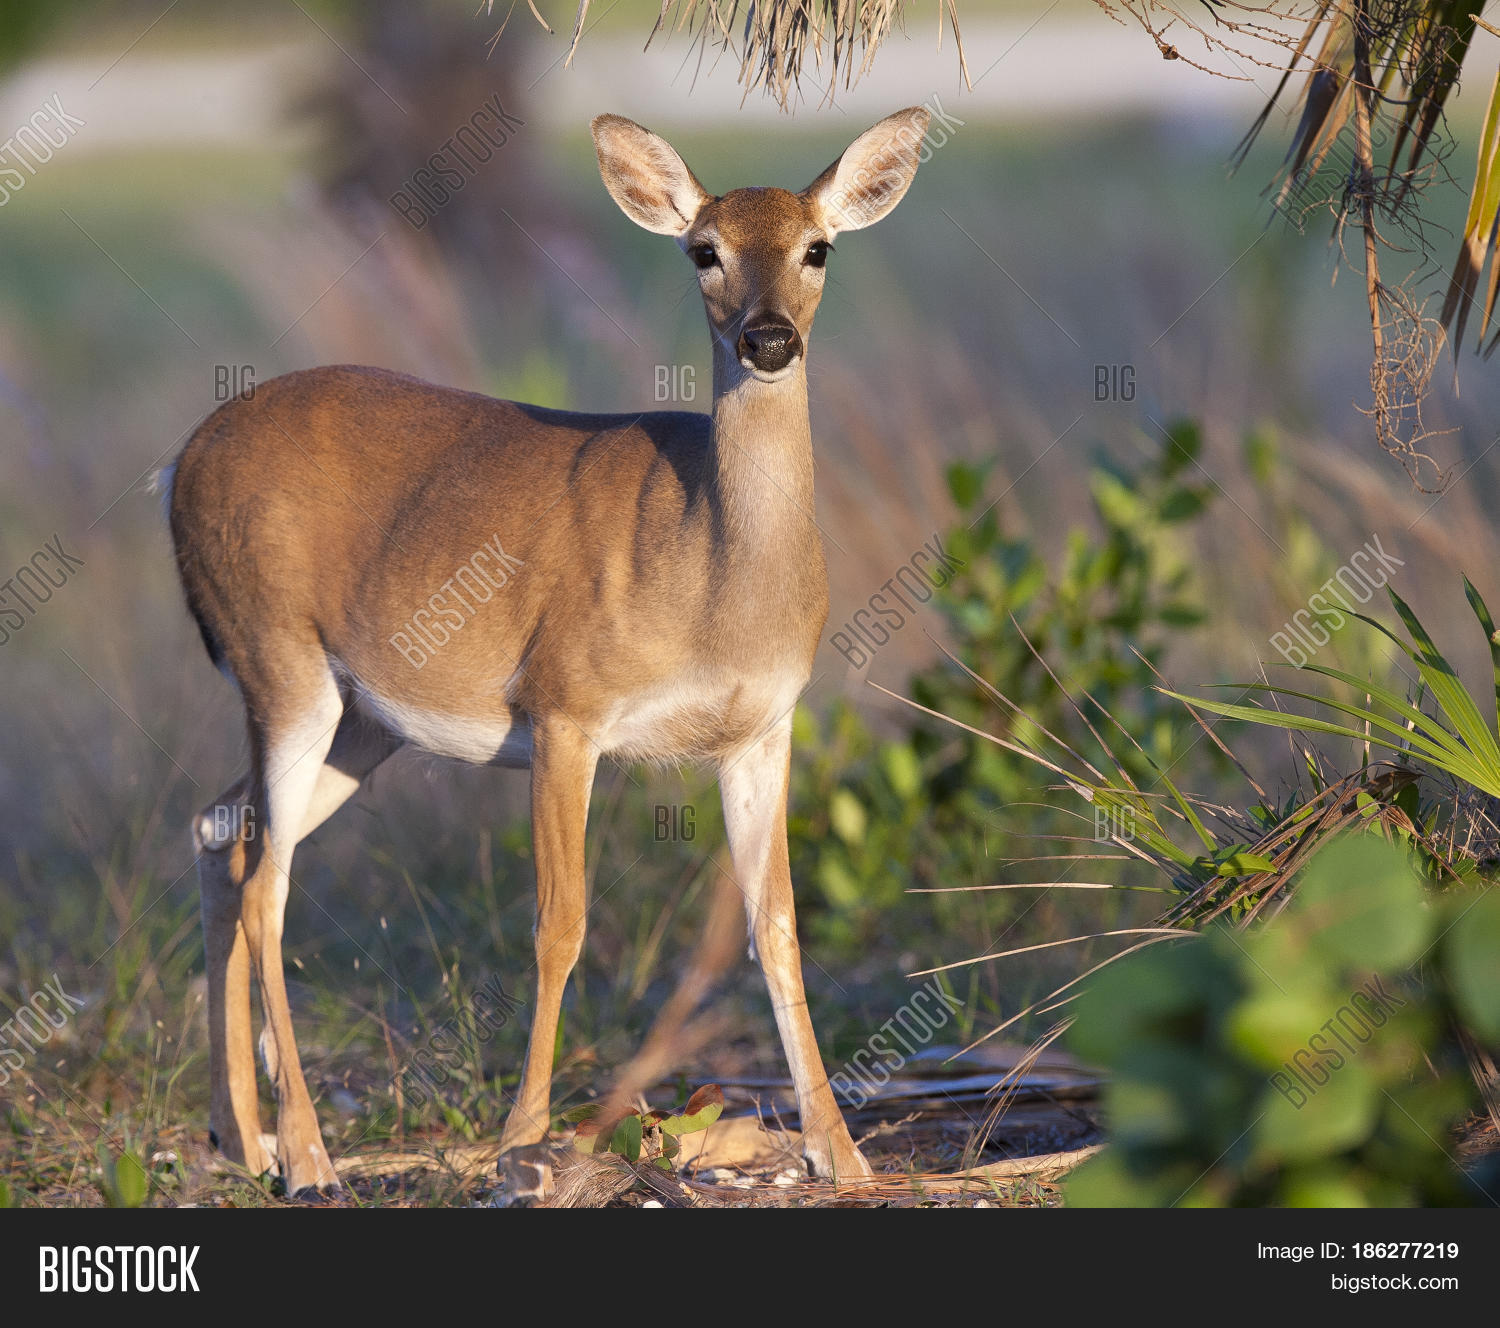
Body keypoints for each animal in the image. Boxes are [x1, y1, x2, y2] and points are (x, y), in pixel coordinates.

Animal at [166, 106, 929, 1195]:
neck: (711, 570)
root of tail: (180, 461)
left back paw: (242, 1135)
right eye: (704, 250)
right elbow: (558, 924)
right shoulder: (567, 704)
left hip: (361, 719)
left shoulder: (762, 727)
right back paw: (308, 1155)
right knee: (268, 880)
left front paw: (843, 1150)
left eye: (818, 247)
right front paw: (520, 1140)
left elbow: (777, 926)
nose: (769, 338)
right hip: (278, 654)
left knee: (221, 828)